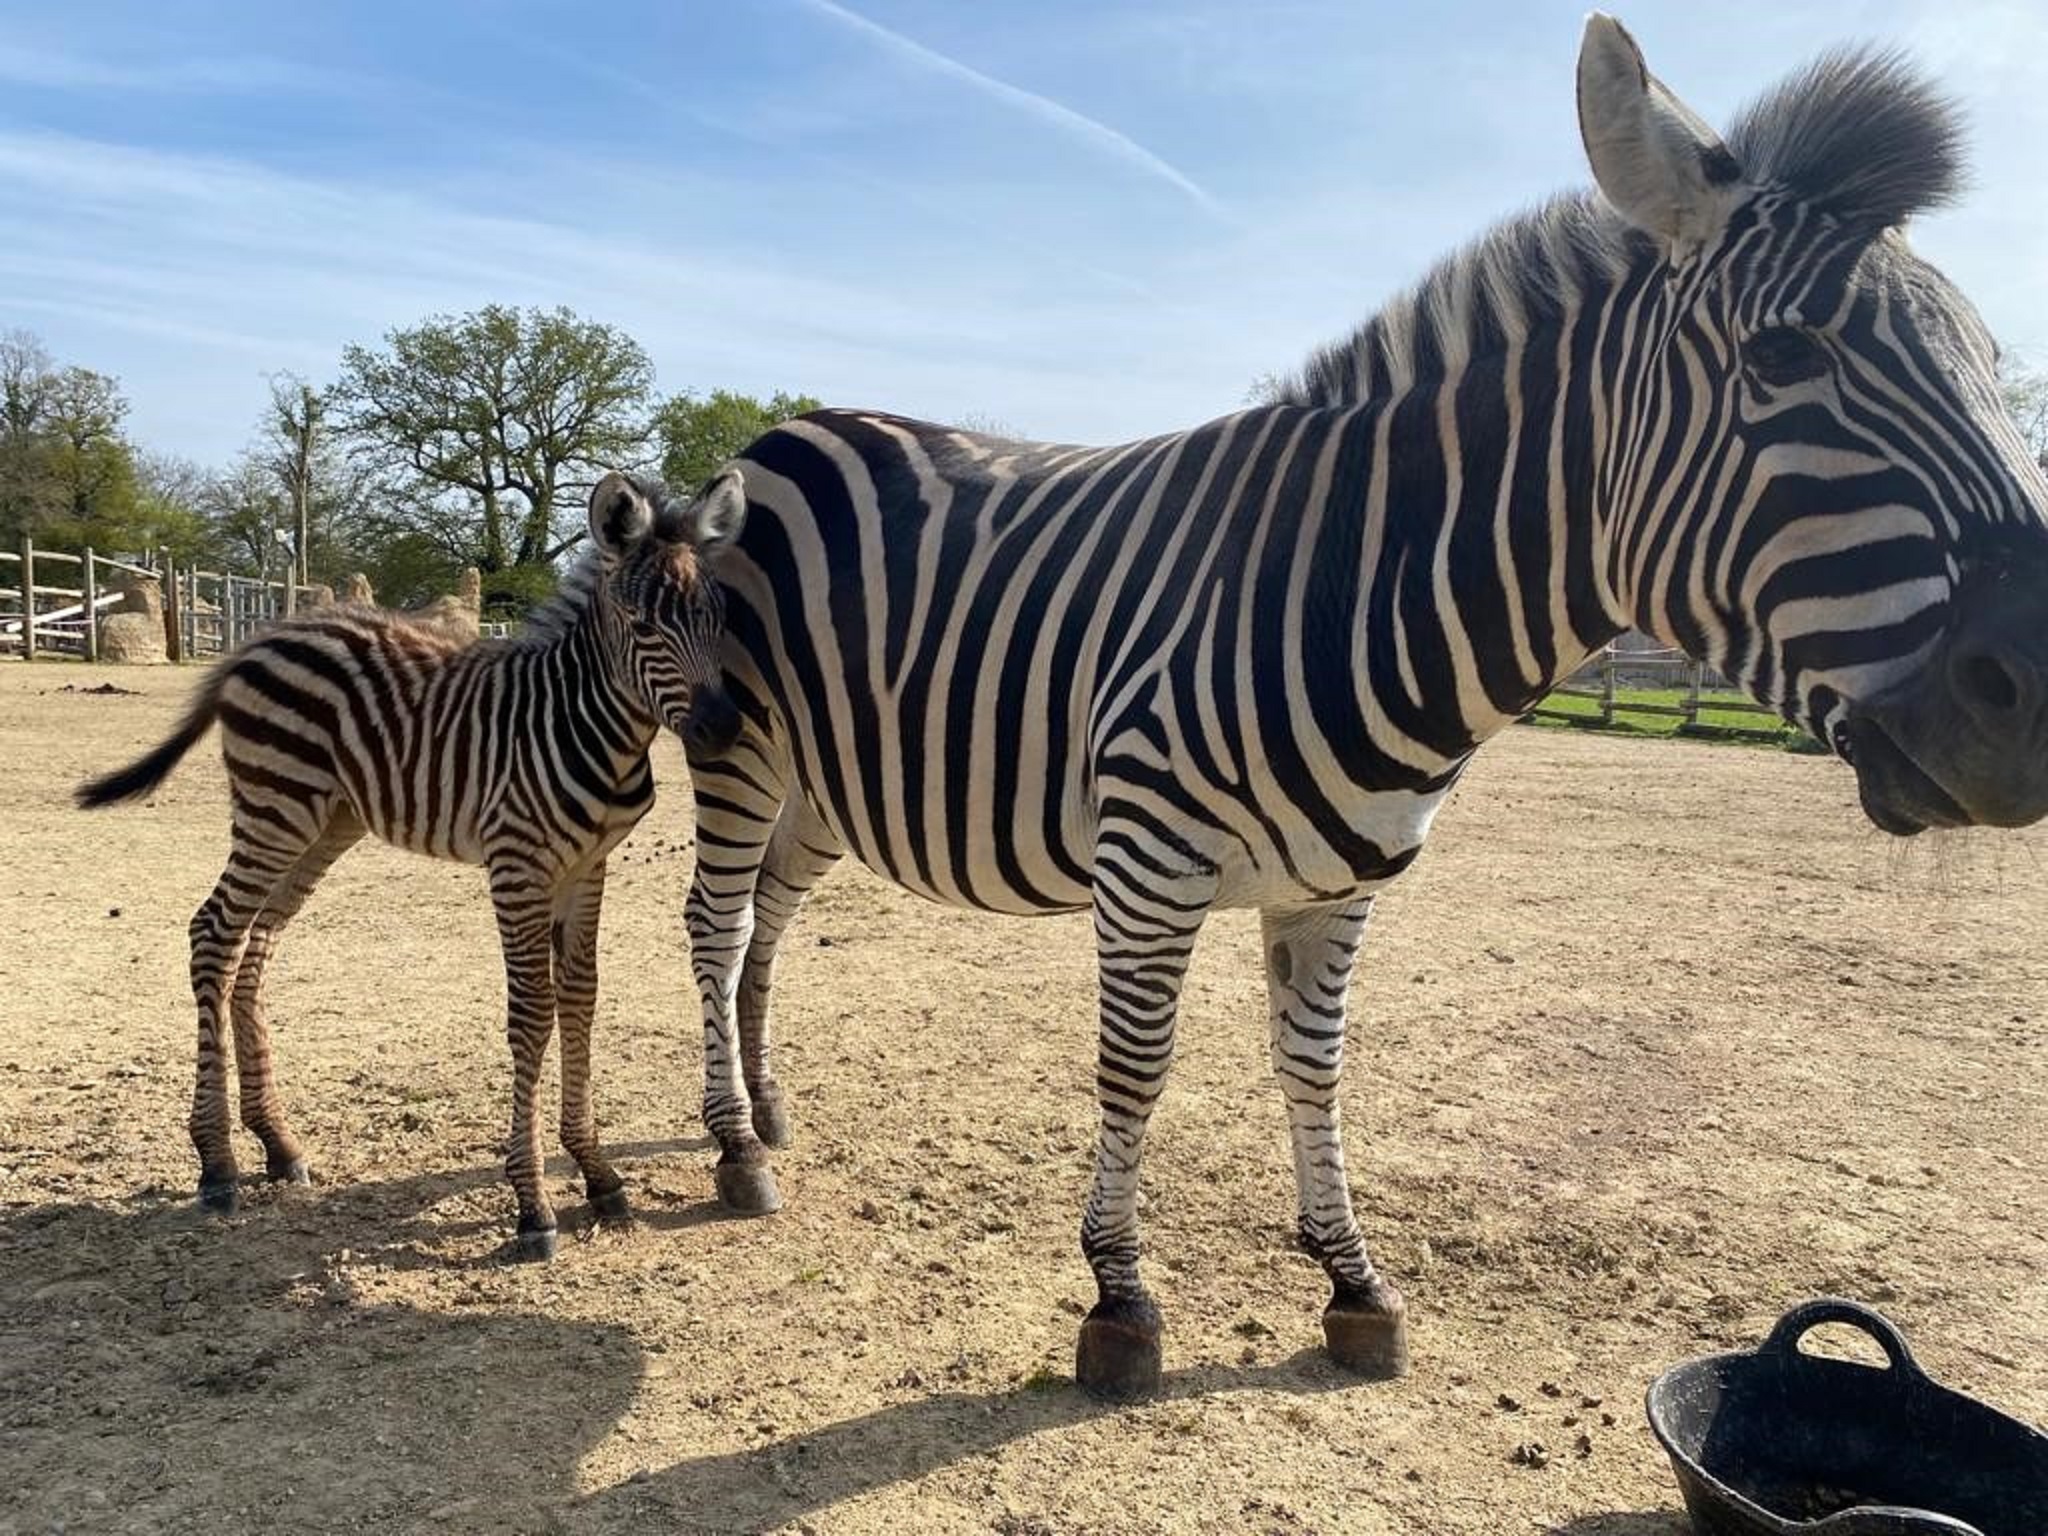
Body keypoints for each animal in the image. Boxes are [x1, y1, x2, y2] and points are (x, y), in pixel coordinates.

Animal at [77, 473, 747, 1259]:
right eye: (642, 624)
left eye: (720, 618)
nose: (723, 729)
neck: (587, 725)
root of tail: (261, 638)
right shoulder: (516, 864)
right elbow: (533, 1013)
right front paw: (533, 1205)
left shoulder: (587, 867)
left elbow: (580, 1000)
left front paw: (598, 1173)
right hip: (276, 809)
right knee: (213, 933)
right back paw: (216, 1165)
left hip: (325, 823)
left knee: (254, 944)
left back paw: (277, 1144)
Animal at [677, 16, 2048, 1397]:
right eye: (1780, 356)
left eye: (1993, 371)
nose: (2035, 692)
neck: (1353, 586)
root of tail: (778, 431)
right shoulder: (1147, 859)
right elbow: (1137, 1067)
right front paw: (1118, 1299)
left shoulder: (1337, 885)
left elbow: (1314, 1069)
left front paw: (1351, 1281)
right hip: (738, 748)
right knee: (715, 923)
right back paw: (734, 1149)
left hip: (827, 779)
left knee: (771, 917)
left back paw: (767, 1107)